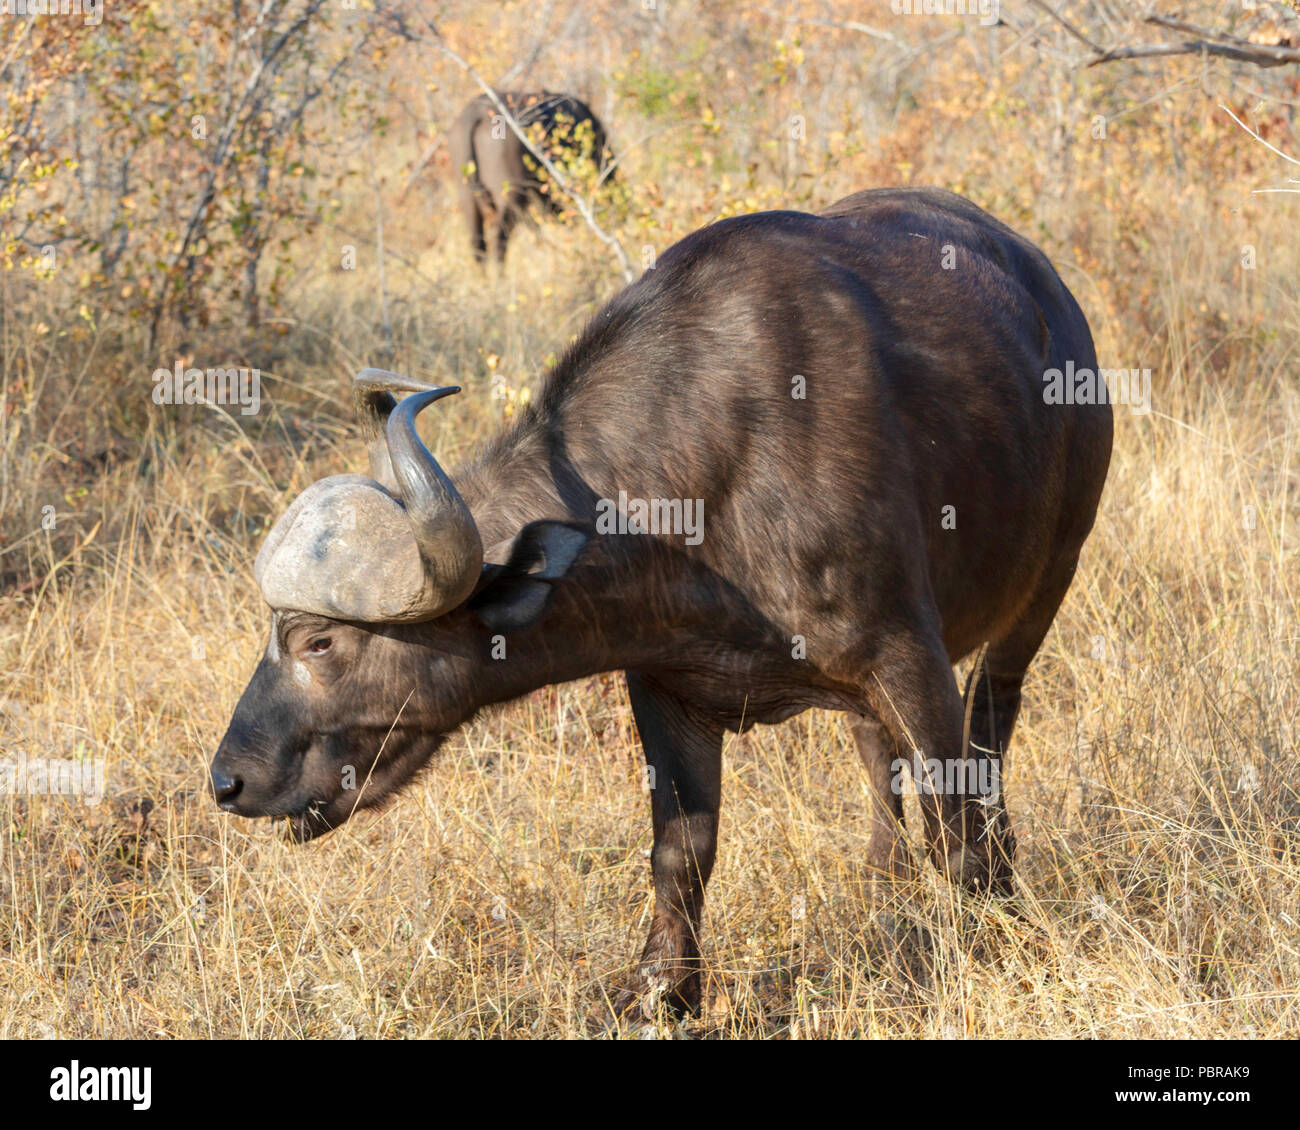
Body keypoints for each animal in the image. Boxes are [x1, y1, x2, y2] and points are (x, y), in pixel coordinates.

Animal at [212, 187, 1113, 1019]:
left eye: (320, 642)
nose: (228, 781)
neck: (701, 488)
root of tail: (1049, 299)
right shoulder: (665, 688)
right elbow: (681, 849)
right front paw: (660, 990)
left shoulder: (910, 660)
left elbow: (956, 820)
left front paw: (985, 935)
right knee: (878, 767)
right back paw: (883, 895)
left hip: (1047, 583)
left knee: (991, 724)